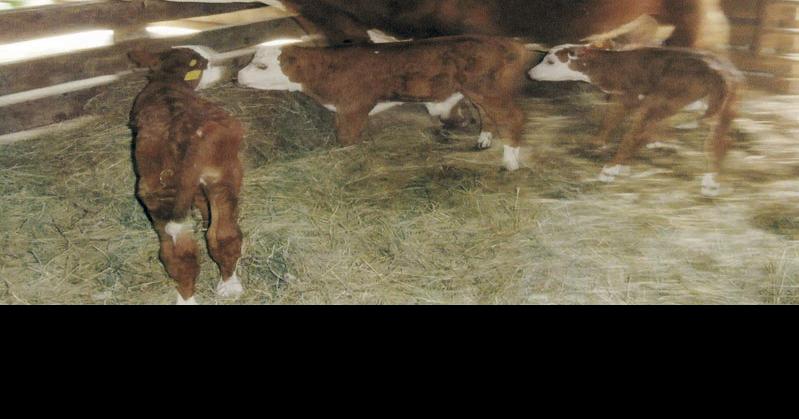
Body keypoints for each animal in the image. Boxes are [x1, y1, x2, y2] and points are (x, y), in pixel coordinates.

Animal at [129, 47, 246, 305]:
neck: (168, 81)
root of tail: (185, 135)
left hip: (162, 193)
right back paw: (228, 286)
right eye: (205, 63)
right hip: (223, 174)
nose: (230, 66)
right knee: (222, 236)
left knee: (182, 254)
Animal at [238, 36, 545, 171]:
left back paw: (510, 162)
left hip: (489, 90)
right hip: (480, 92)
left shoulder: (353, 108)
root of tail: (510, 42)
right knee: (488, 116)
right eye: (252, 59)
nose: (237, 75)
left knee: (513, 118)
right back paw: (484, 141)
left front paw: (345, 158)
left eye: (262, 66)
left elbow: (347, 139)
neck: (328, 70)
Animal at [529, 44, 743, 197]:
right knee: (719, 142)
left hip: (663, 100)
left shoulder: (627, 98)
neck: (613, 66)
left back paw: (609, 170)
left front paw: (597, 144)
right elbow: (640, 129)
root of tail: (719, 72)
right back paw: (711, 183)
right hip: (725, 109)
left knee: (632, 136)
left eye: (550, 61)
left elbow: (612, 120)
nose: (530, 73)